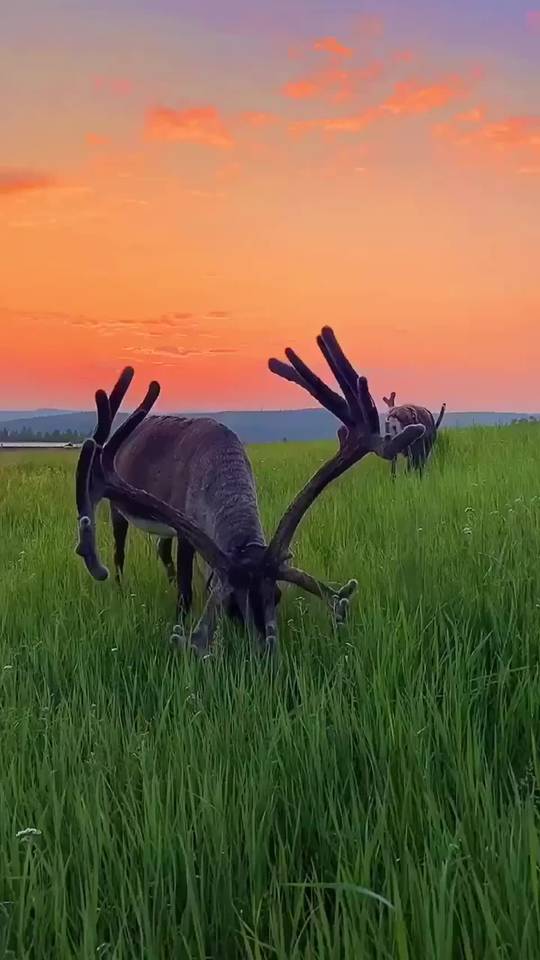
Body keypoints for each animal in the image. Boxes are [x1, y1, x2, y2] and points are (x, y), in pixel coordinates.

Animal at [75, 327, 424, 656]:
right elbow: (187, 591)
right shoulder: (188, 530)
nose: (265, 657)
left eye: (277, 595)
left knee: (162, 549)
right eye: (231, 606)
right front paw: (181, 621)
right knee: (119, 551)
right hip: (118, 510)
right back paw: (120, 585)